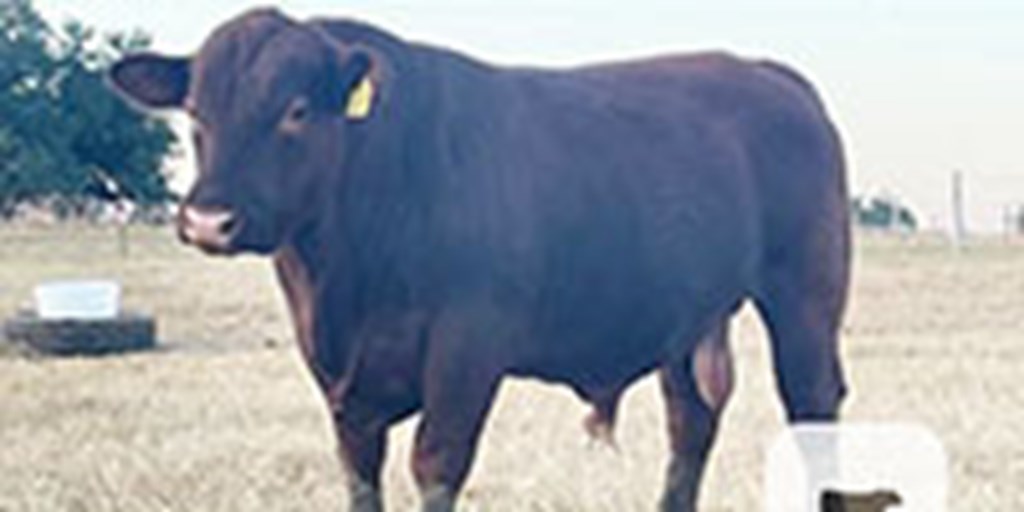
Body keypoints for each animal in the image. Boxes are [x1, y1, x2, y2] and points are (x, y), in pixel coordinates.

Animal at [109, 8, 850, 512]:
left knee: (813, 404)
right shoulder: (341, 385)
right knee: (690, 423)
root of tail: (769, 74)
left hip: (806, 302)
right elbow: (360, 474)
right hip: (688, 315)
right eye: (195, 114)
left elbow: (437, 465)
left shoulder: (467, 351)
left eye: (295, 110)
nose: (207, 220)